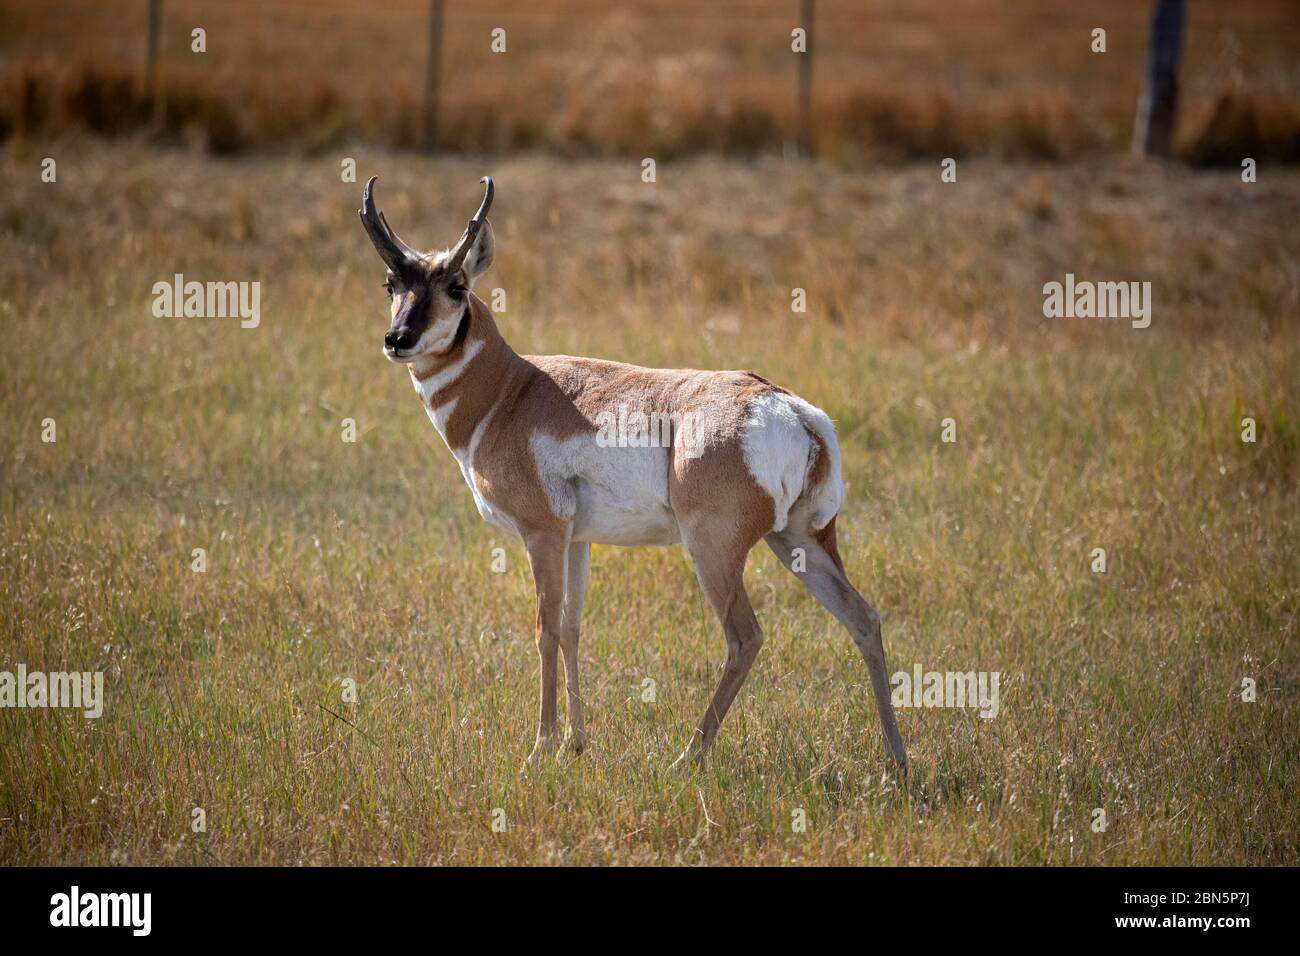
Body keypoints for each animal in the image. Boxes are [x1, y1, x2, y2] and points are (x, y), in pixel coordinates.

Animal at [359, 176, 907, 771]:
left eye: (457, 285)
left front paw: (539, 748)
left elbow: (544, 630)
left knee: (746, 637)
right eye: (391, 283)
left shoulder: (542, 534)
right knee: (863, 618)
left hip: (714, 549)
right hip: (799, 539)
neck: (509, 390)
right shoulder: (577, 541)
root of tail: (789, 408)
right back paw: (896, 763)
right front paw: (575, 744)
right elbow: (572, 629)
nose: (398, 339)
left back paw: (686, 758)